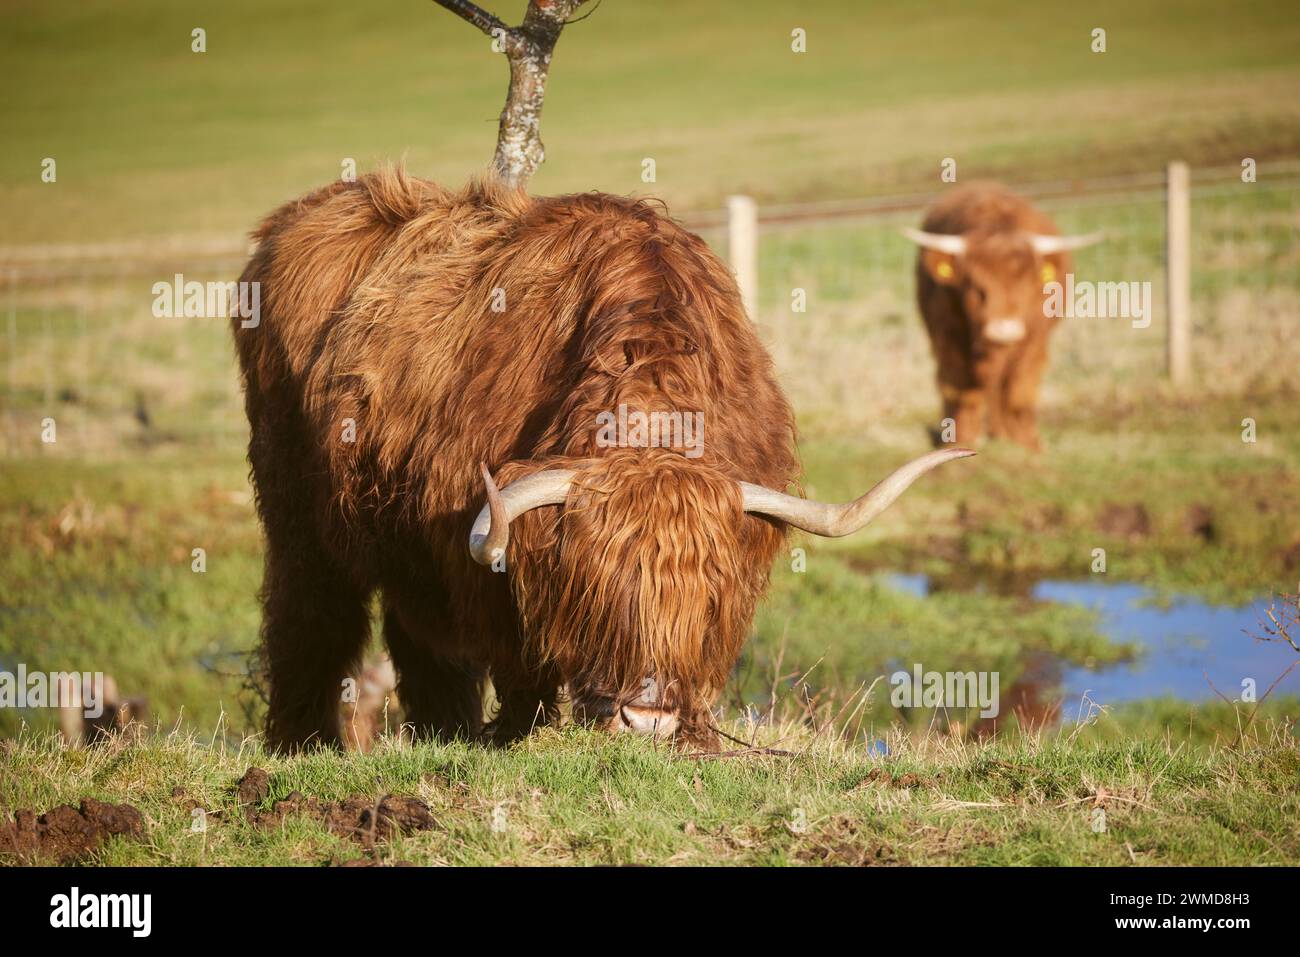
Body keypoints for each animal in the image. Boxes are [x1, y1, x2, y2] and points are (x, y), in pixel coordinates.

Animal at [232, 168, 973, 752]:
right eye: (599, 588)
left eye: (700, 592)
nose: (645, 717)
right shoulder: (481, 553)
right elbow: (517, 660)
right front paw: (519, 733)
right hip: (297, 511)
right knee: (311, 620)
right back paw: (301, 745)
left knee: (418, 641)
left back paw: (442, 730)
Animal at [904, 183, 1101, 451]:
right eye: (976, 286)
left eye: (1025, 285)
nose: (1003, 330)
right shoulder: (947, 336)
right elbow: (959, 385)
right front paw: (959, 440)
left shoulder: (1033, 339)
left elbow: (1018, 386)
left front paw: (1026, 442)